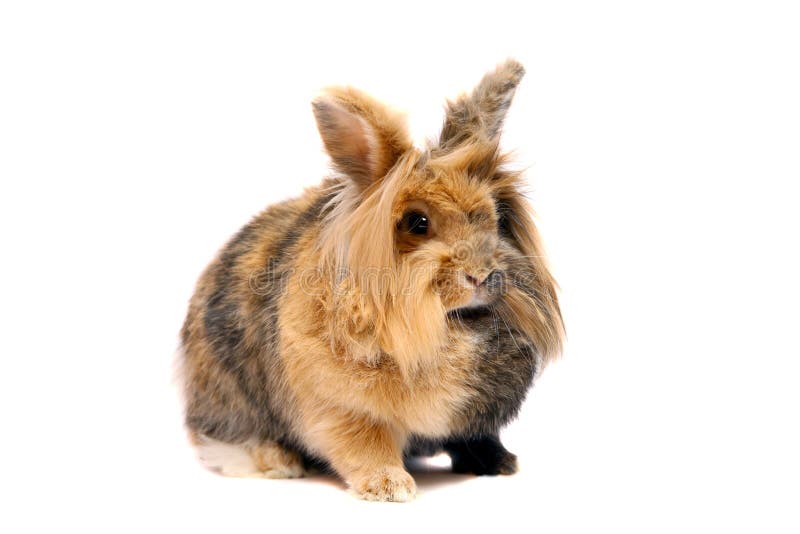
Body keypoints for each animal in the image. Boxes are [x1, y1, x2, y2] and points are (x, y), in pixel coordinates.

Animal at [179, 58, 564, 501]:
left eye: (495, 217)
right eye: (417, 223)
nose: (482, 275)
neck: (445, 326)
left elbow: (475, 436)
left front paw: (500, 463)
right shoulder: (342, 406)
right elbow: (365, 444)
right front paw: (390, 486)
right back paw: (281, 461)